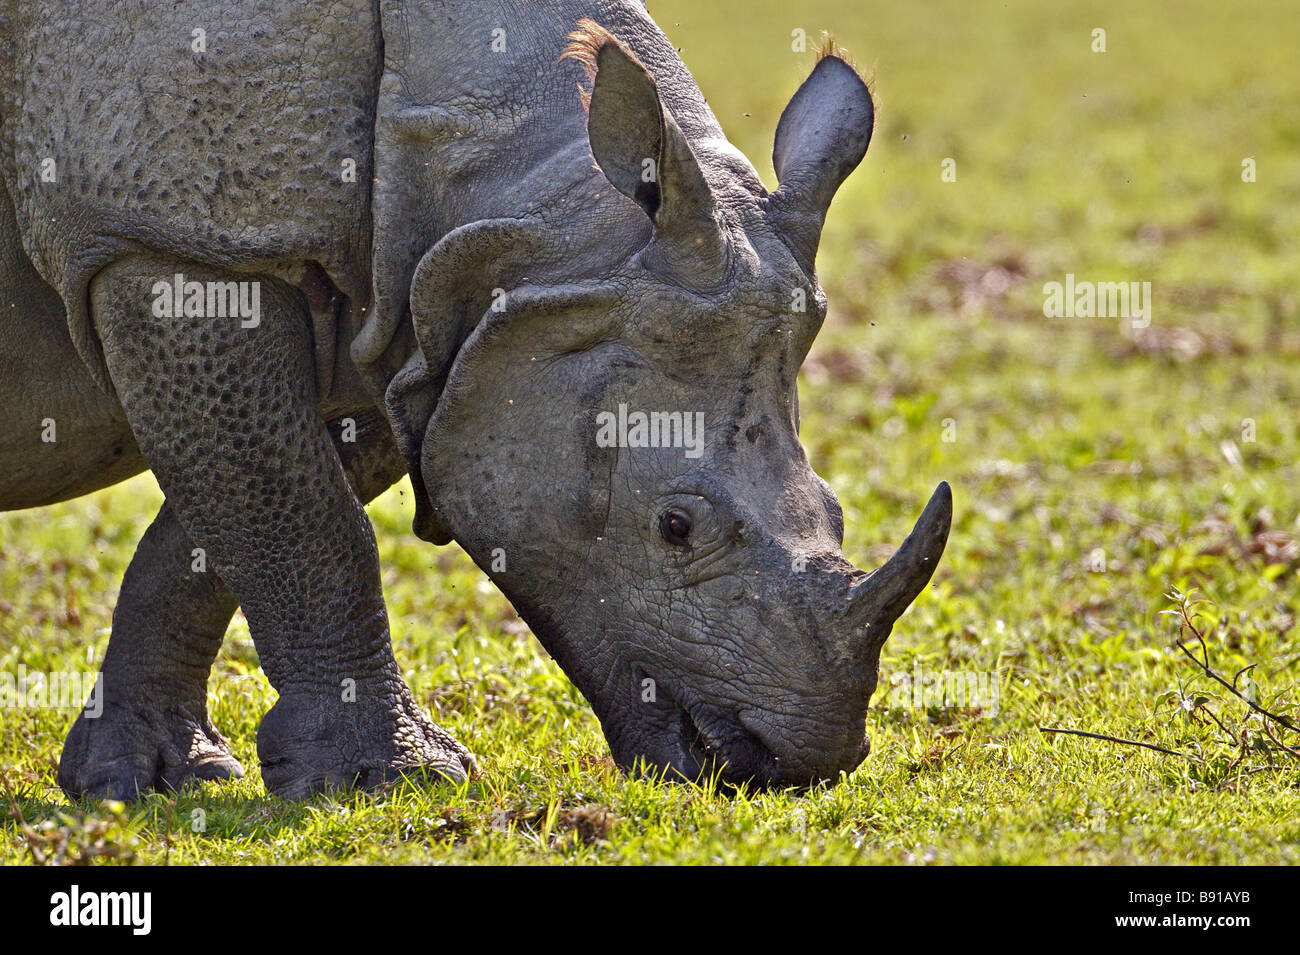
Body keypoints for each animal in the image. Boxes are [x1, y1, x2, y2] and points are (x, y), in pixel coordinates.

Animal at [0, 0, 951, 799]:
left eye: (835, 509)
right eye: (675, 527)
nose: (794, 761)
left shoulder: (418, 317)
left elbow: (228, 527)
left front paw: (147, 780)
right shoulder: (171, 243)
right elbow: (304, 520)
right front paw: (391, 781)